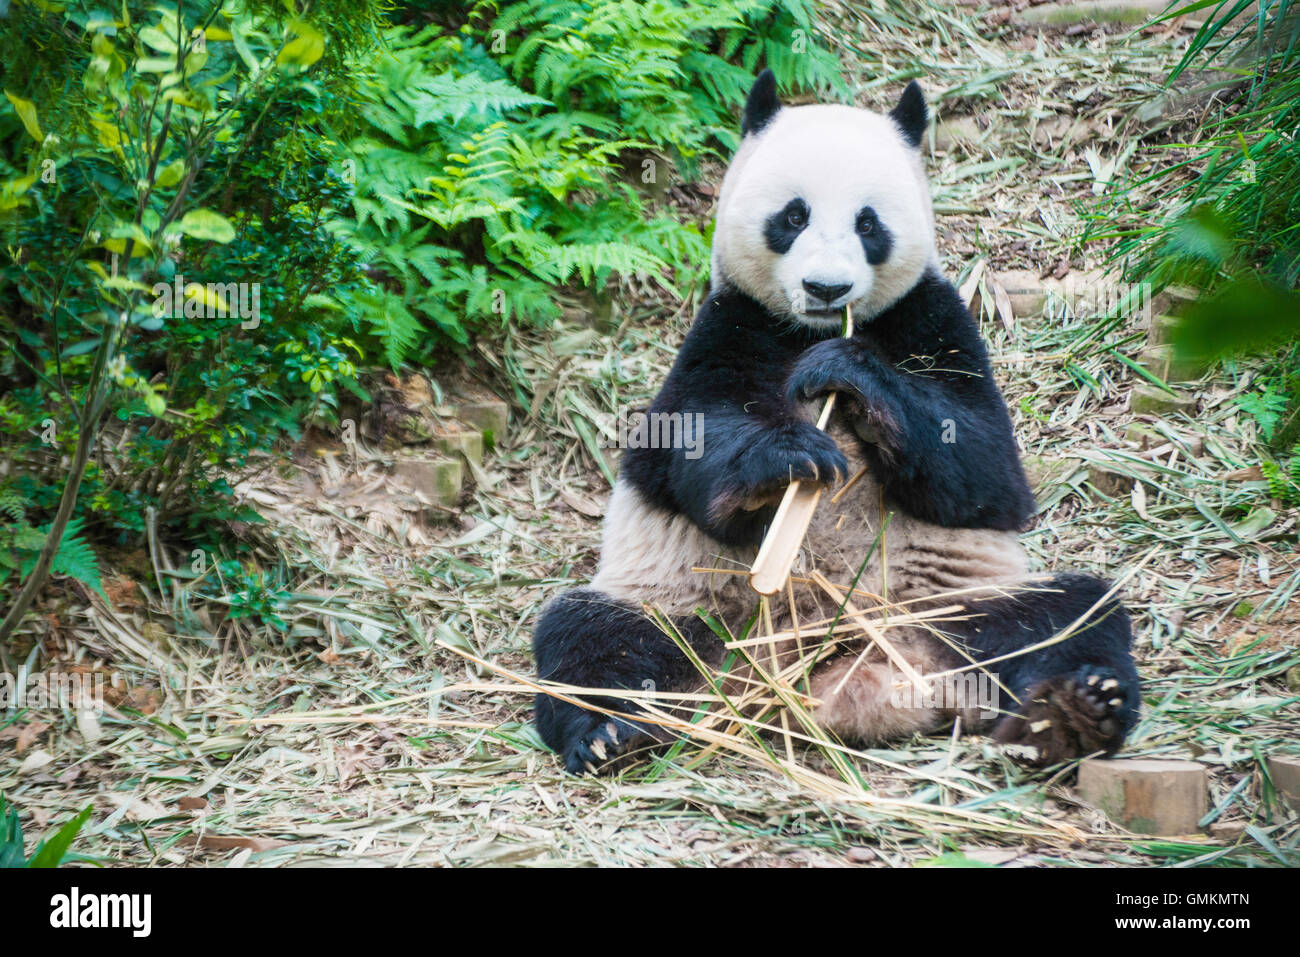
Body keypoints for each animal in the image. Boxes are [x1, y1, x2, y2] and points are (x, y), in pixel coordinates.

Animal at [533, 70, 1140, 775]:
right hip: (684, 609)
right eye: (793, 216)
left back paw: (1072, 713)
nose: (827, 289)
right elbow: (683, 448)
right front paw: (787, 461)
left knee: (1070, 616)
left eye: (867, 223)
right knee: (593, 639)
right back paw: (609, 734)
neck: (810, 331)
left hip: (956, 606)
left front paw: (851, 376)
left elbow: (988, 473)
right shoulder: (729, 324)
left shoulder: (933, 317)